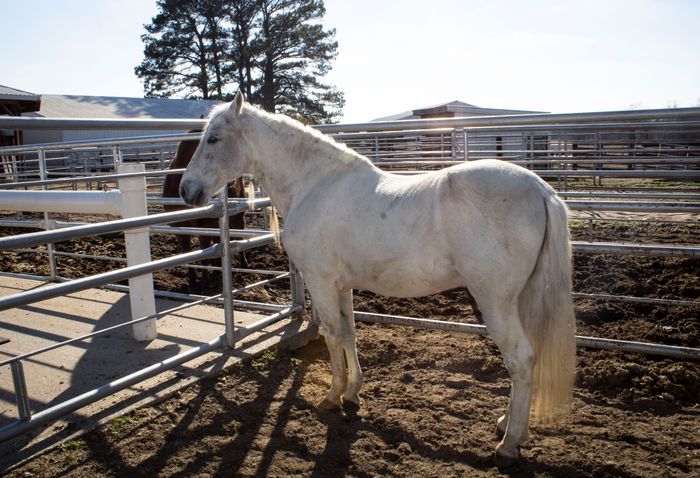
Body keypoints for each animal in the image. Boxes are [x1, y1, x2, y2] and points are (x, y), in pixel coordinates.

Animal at [162, 134, 248, 290]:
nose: (230, 181)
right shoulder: (179, 226)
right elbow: (187, 253)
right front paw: (192, 282)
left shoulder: (204, 225)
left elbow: (204, 252)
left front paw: (206, 282)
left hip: (237, 216)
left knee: (239, 236)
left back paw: (243, 266)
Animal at [179, 92, 577, 464]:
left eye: (213, 138)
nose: (186, 190)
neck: (315, 185)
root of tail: (542, 191)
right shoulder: (342, 286)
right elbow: (350, 333)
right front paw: (352, 392)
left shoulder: (321, 282)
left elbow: (332, 334)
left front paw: (331, 396)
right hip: (519, 300)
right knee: (525, 359)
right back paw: (507, 425)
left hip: (495, 301)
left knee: (520, 358)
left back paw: (509, 443)